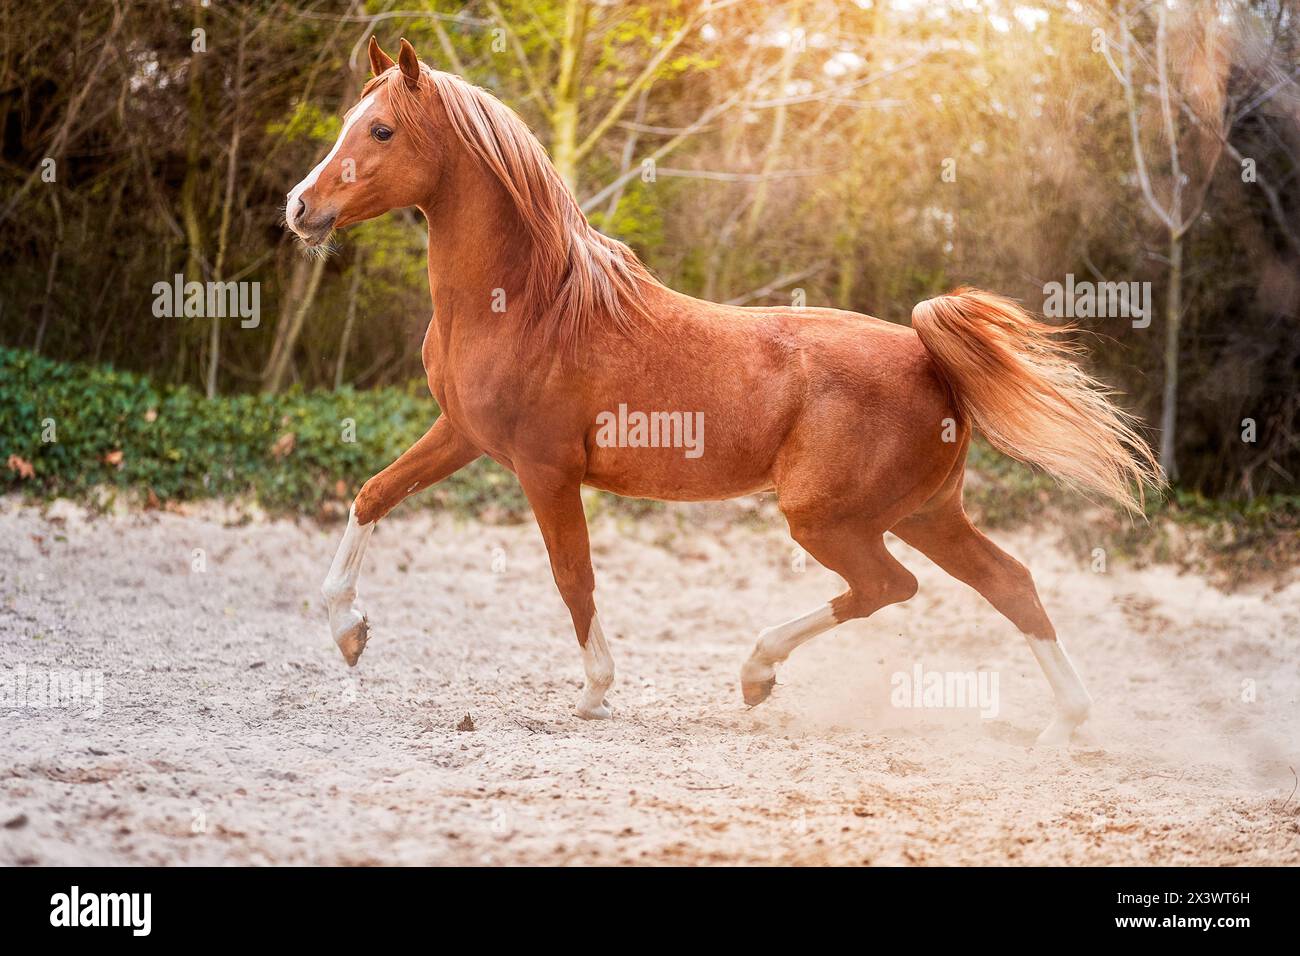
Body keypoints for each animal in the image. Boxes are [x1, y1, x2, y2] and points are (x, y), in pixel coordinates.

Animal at [286, 37, 1161, 745]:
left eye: (382, 130)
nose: (300, 207)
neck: (530, 304)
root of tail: (930, 357)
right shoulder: (462, 434)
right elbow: (371, 494)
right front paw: (349, 632)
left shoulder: (545, 470)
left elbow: (574, 577)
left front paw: (596, 694)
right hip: (924, 514)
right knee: (1009, 583)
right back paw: (1066, 726)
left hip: (829, 518)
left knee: (889, 586)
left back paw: (756, 672)